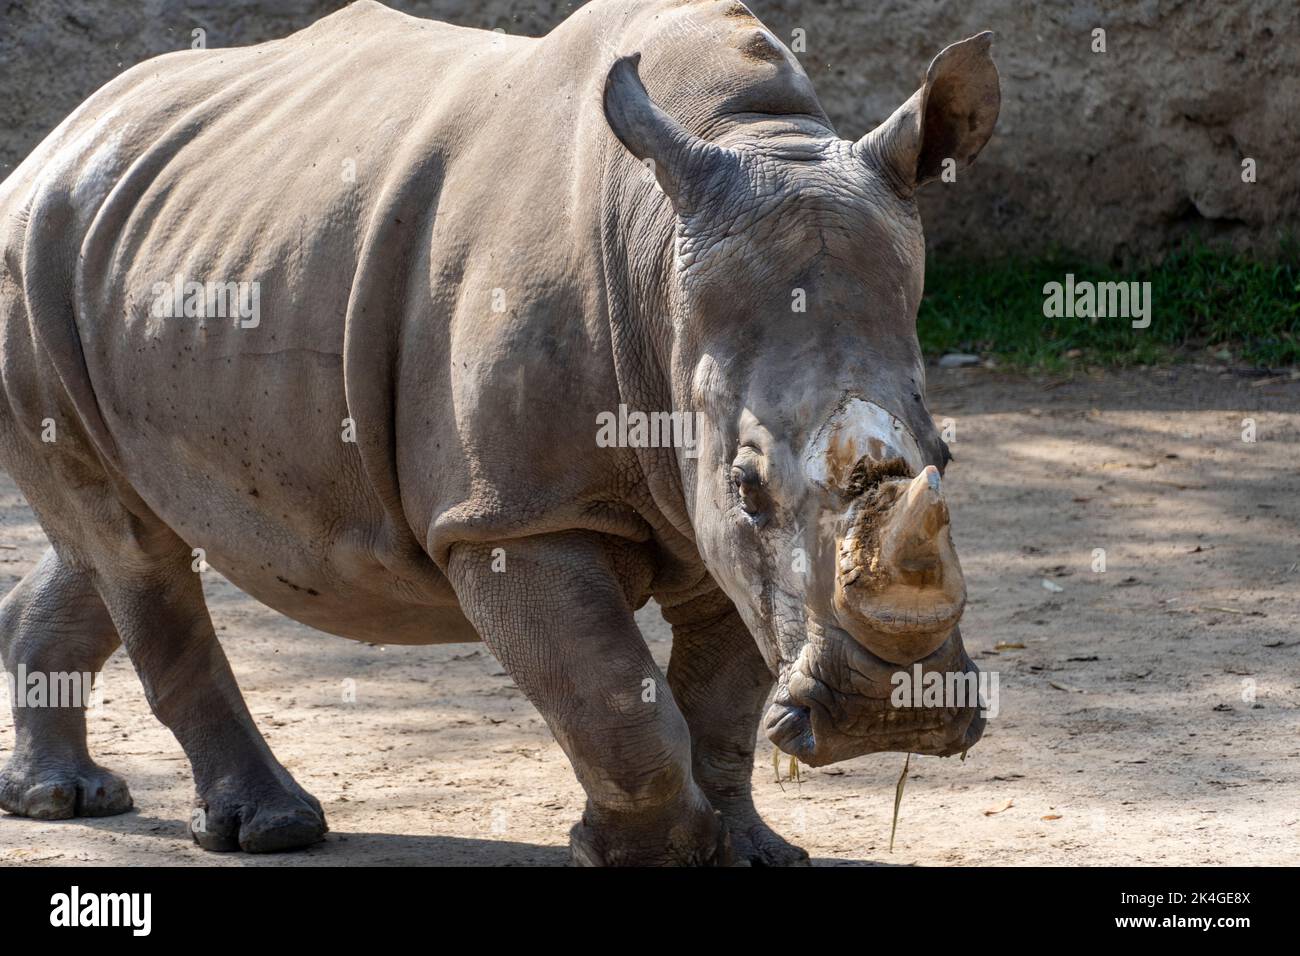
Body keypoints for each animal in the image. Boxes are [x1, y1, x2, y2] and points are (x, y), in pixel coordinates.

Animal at [0, 0, 999, 865]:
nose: (895, 715)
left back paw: (64, 797)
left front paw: (751, 854)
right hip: (30, 267)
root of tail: (54, 140)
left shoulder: (707, 509)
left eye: (945, 458)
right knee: (130, 547)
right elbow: (614, 699)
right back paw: (268, 830)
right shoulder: (513, 515)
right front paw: (641, 855)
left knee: (115, 537)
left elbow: (719, 699)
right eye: (749, 483)